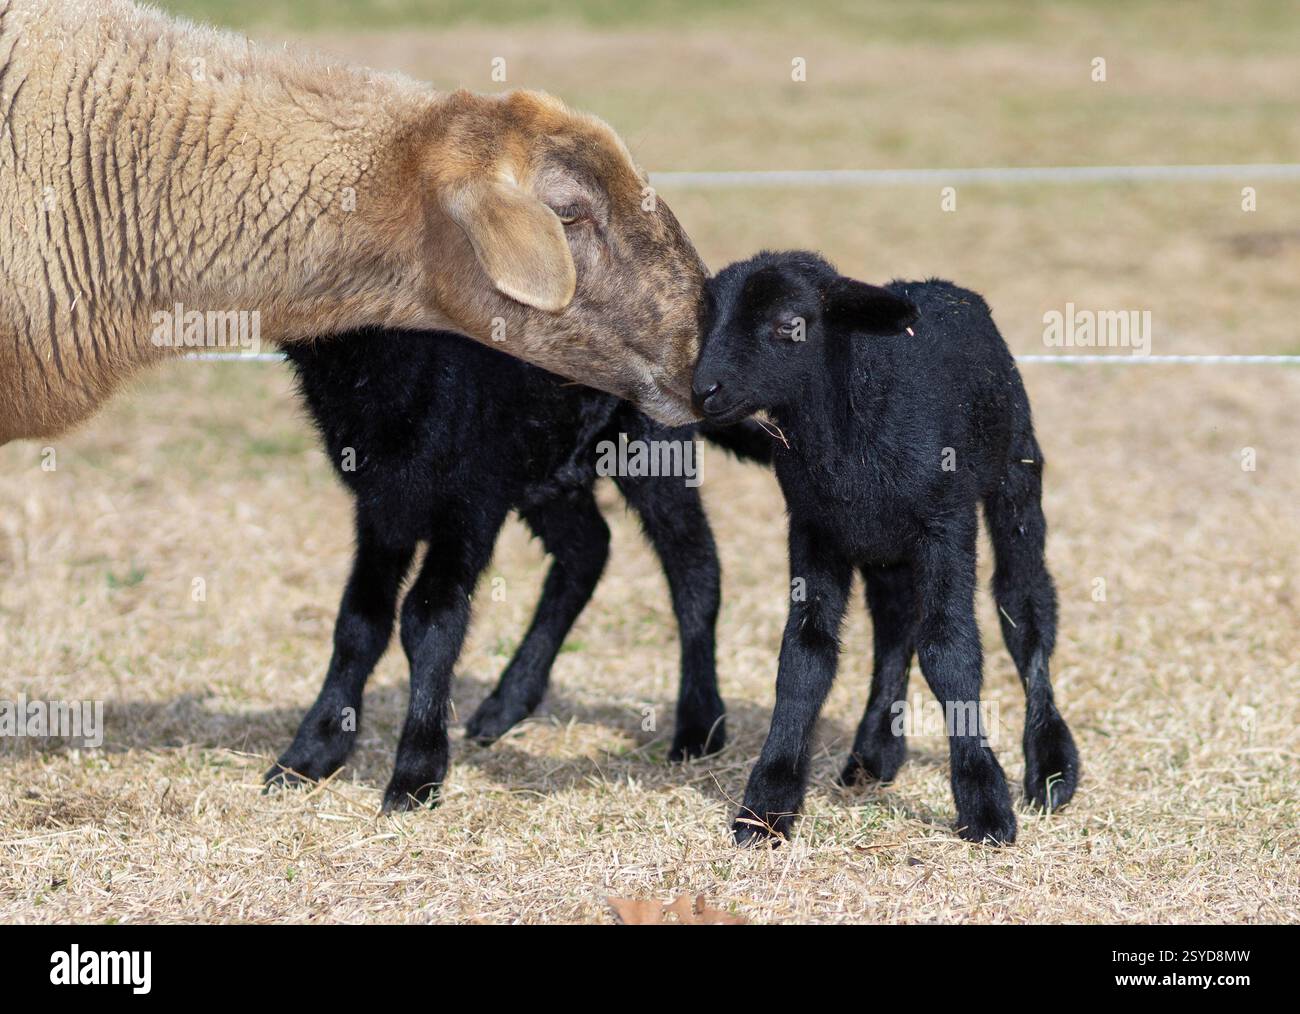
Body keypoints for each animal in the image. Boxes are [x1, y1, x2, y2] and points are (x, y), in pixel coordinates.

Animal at [265, 326, 770, 811]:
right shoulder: (382, 505)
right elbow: (359, 621)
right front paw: (309, 755)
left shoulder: (473, 497)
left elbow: (432, 620)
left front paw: (415, 777)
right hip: (550, 464)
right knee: (589, 550)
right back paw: (505, 706)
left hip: (648, 440)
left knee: (694, 565)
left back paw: (699, 727)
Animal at [693, 250, 1080, 845]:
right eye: (706, 320)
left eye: (789, 325)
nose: (703, 390)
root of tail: (941, 285)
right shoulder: (813, 529)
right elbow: (804, 656)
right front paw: (766, 807)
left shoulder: (945, 524)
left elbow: (950, 648)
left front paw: (985, 805)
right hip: (886, 546)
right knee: (896, 627)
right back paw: (874, 752)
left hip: (1016, 470)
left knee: (1026, 604)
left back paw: (1052, 767)